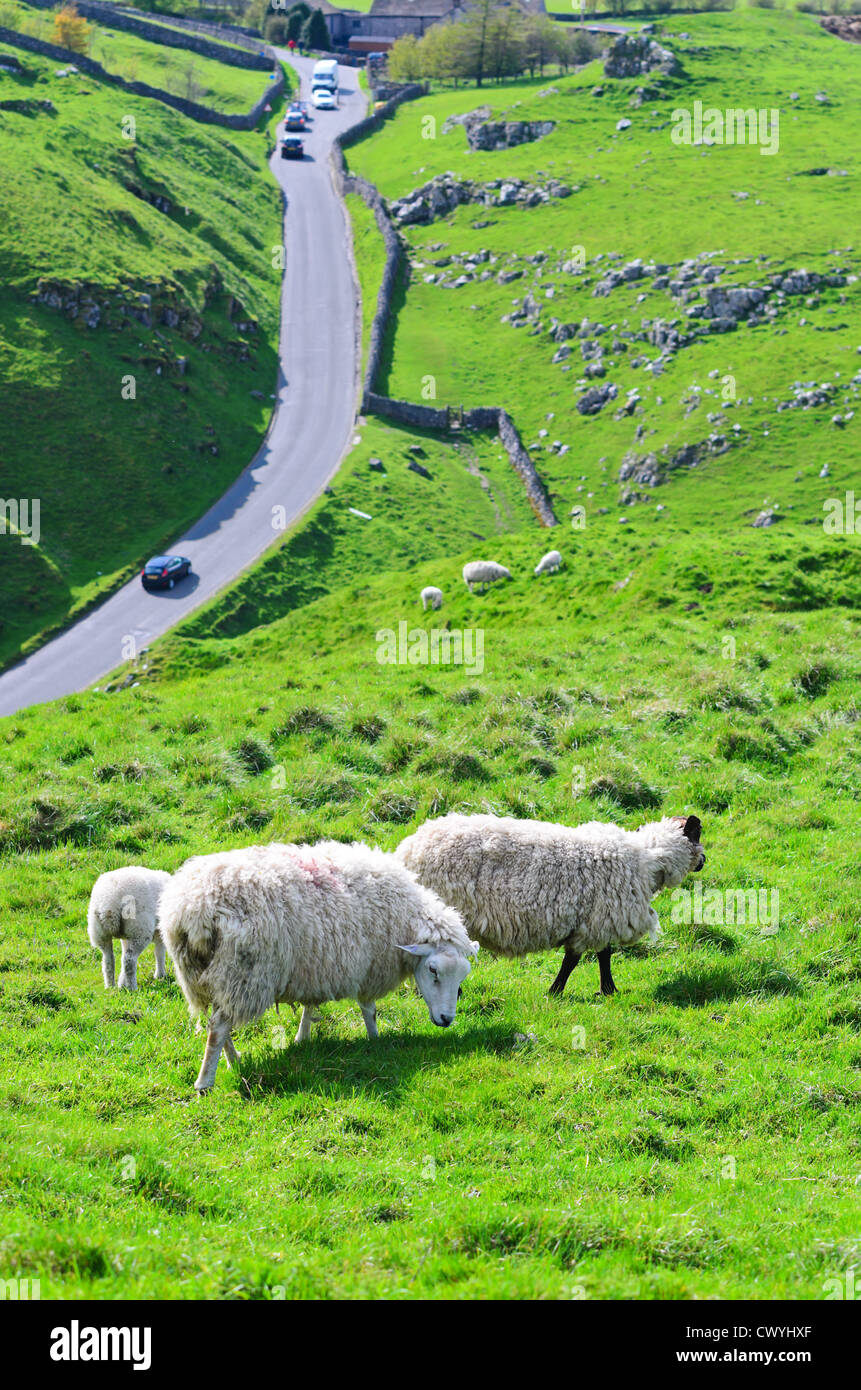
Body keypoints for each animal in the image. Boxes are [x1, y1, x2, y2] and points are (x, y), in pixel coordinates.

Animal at [159, 840, 479, 1092]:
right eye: (433, 970)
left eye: (462, 979)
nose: (446, 1019)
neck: (404, 915)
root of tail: (194, 910)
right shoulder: (366, 967)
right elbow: (369, 1008)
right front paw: (376, 1040)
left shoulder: (317, 965)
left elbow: (309, 1007)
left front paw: (302, 1038)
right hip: (244, 973)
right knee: (219, 1026)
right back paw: (205, 1081)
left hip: (204, 975)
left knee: (215, 1021)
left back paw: (233, 1060)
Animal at [397, 813, 705, 997]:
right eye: (698, 834)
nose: (704, 861)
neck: (647, 861)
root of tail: (408, 849)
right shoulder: (599, 919)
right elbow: (582, 959)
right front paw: (563, 991)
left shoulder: (595, 920)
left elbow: (596, 956)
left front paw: (604, 989)